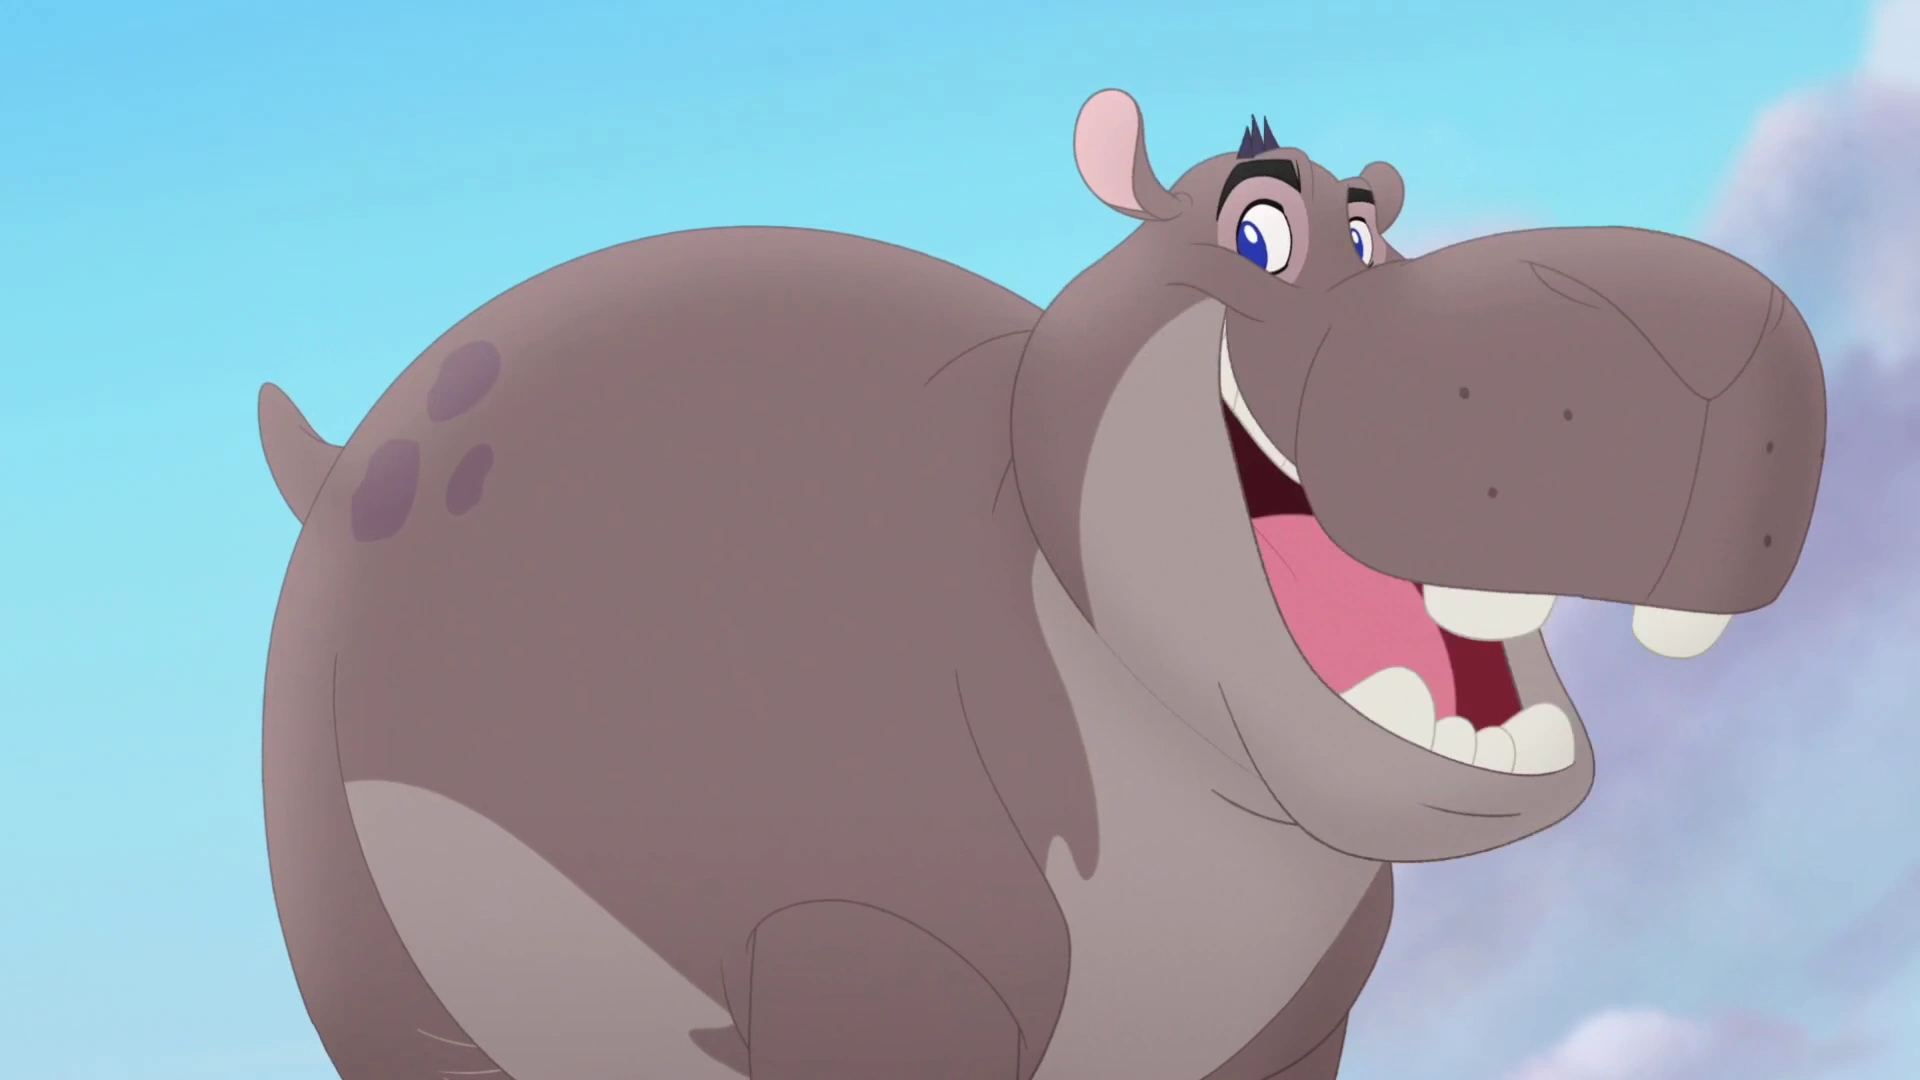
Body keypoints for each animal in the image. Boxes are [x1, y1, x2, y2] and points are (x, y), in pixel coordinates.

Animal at [256, 89, 1826, 1080]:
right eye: (1262, 228)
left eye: (1374, 219)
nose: (1733, 331)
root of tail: (332, 454)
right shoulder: (873, 961)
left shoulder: (1291, 1031)